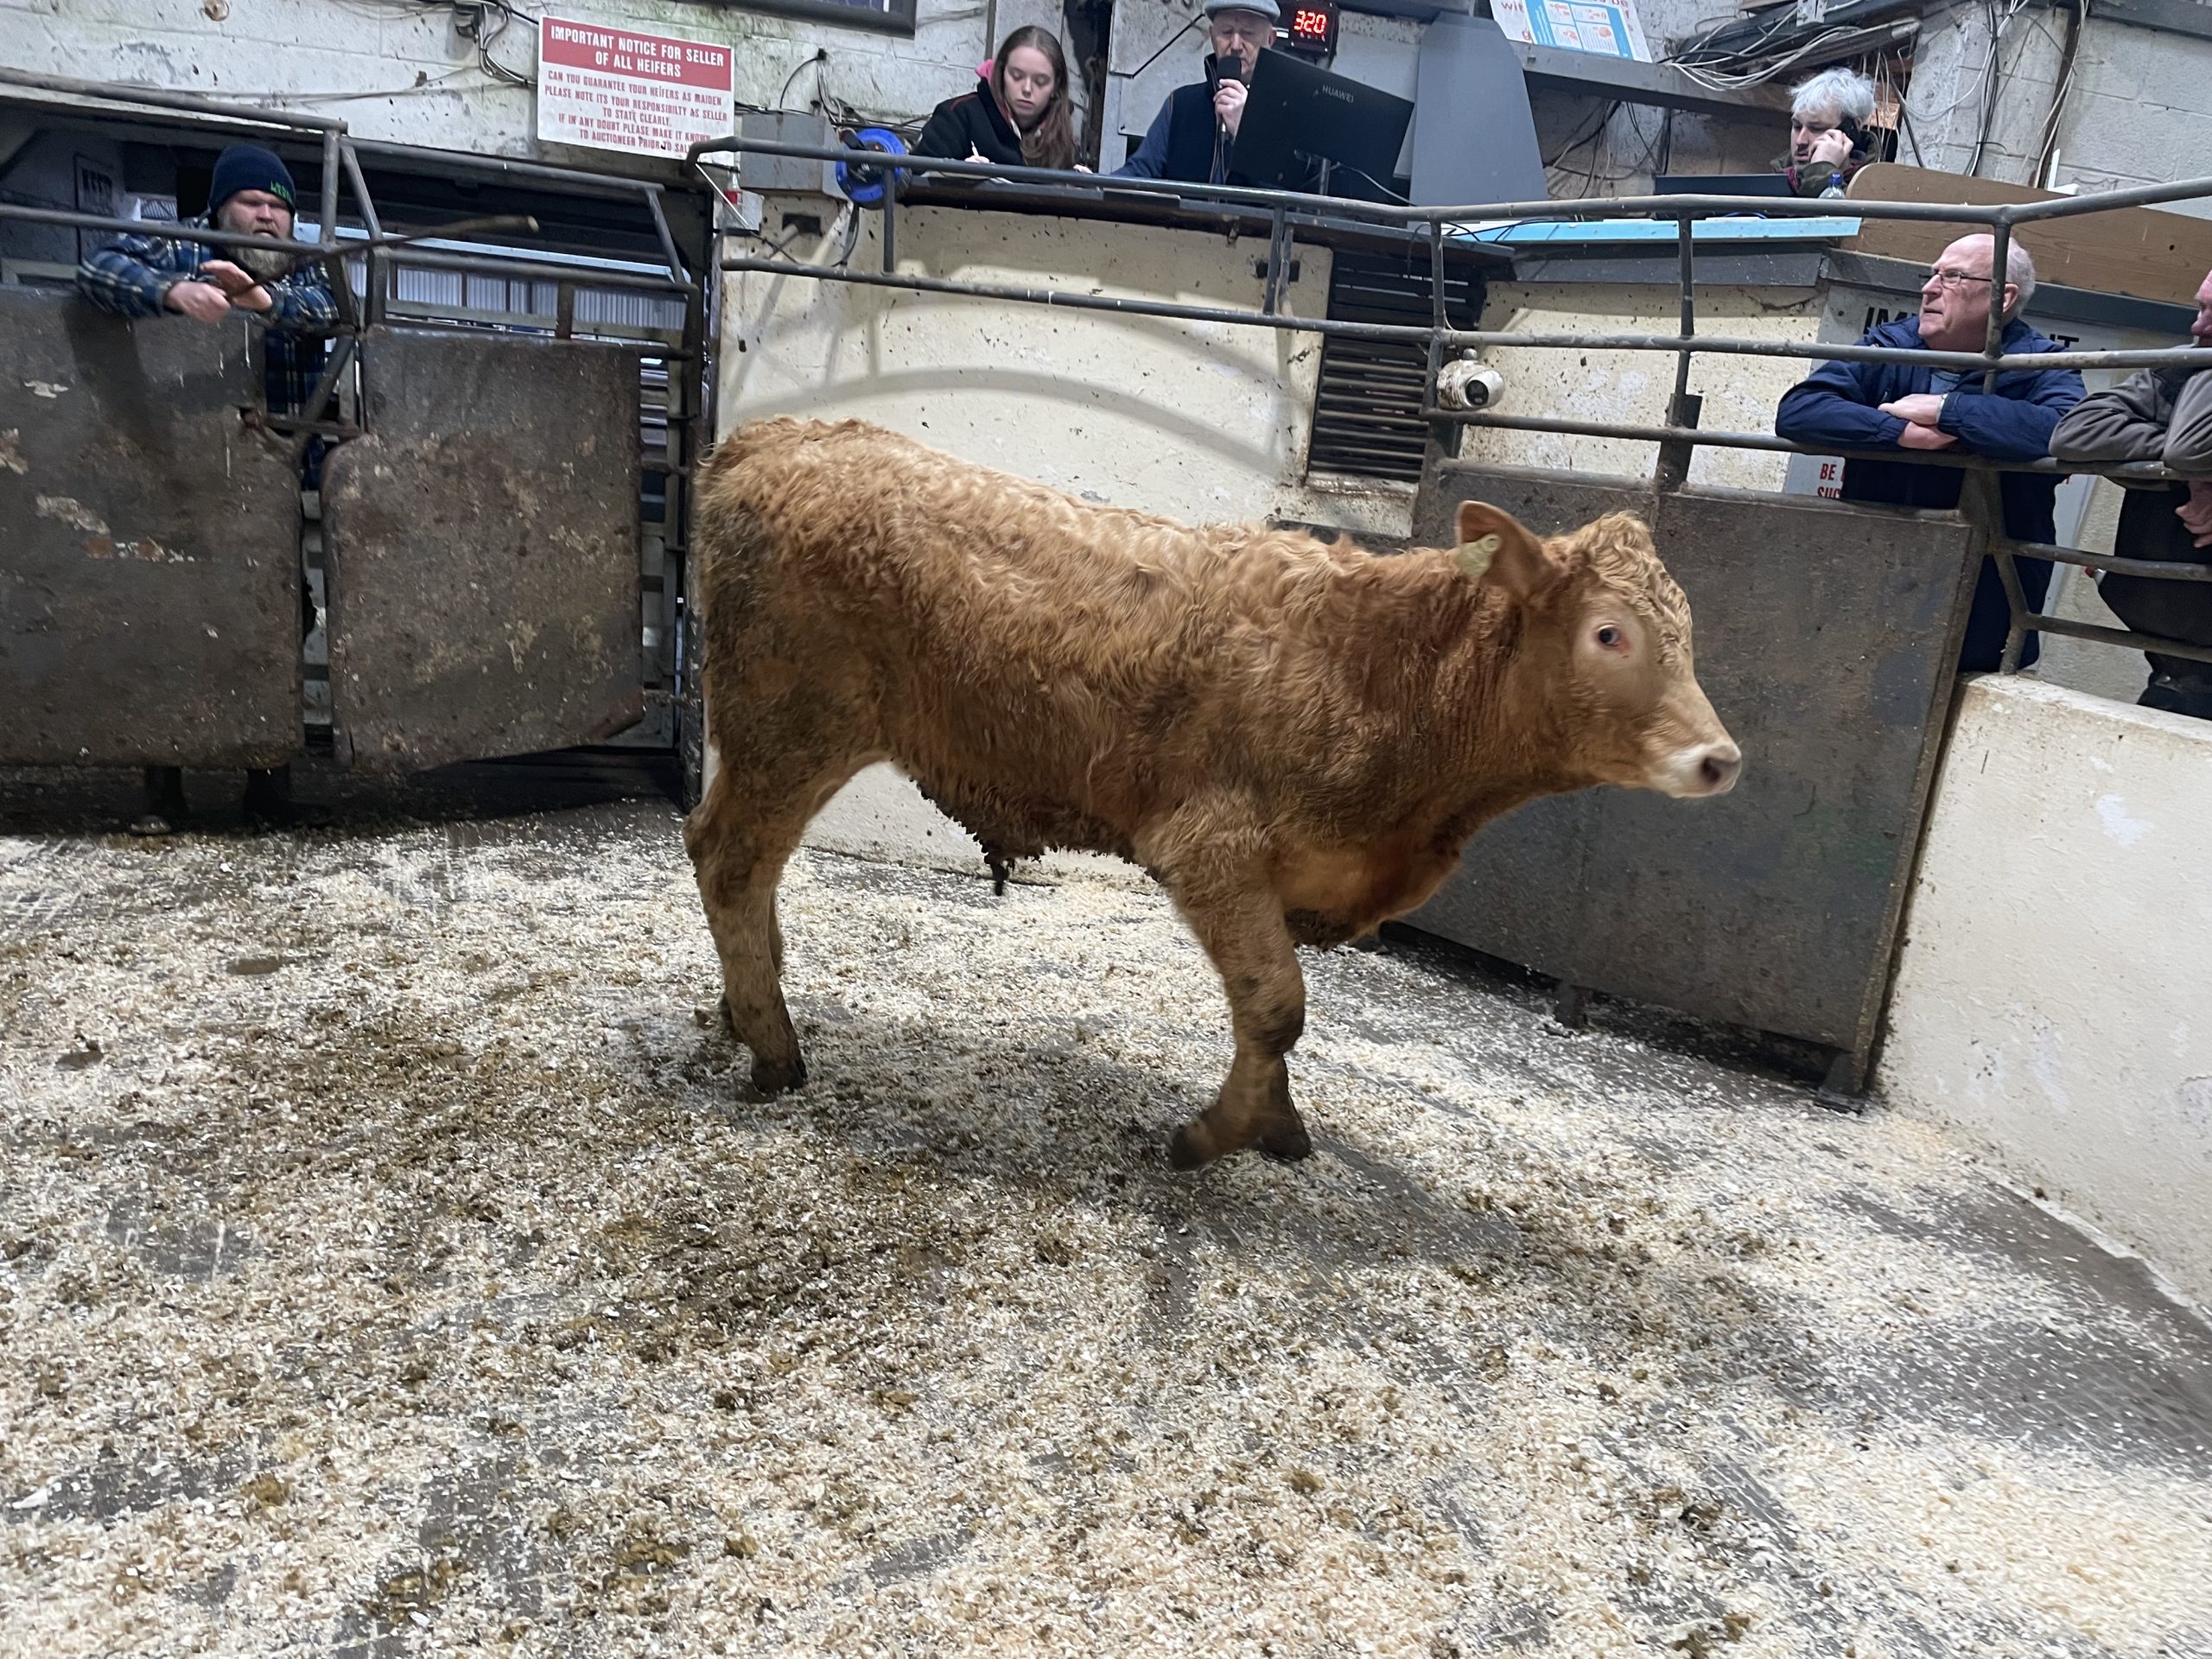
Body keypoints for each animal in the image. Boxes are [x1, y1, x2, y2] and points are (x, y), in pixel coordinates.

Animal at [684, 418, 1740, 1169]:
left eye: (1688, 631)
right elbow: (1277, 1006)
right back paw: (775, 1051)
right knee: (730, 856)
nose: (1720, 758)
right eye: (1609, 634)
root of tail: (778, 436)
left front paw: (1279, 1122)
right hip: (792, 723)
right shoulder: (1211, 848)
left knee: (746, 864)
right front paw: (1216, 1136)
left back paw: (745, 1013)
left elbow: (1271, 1016)